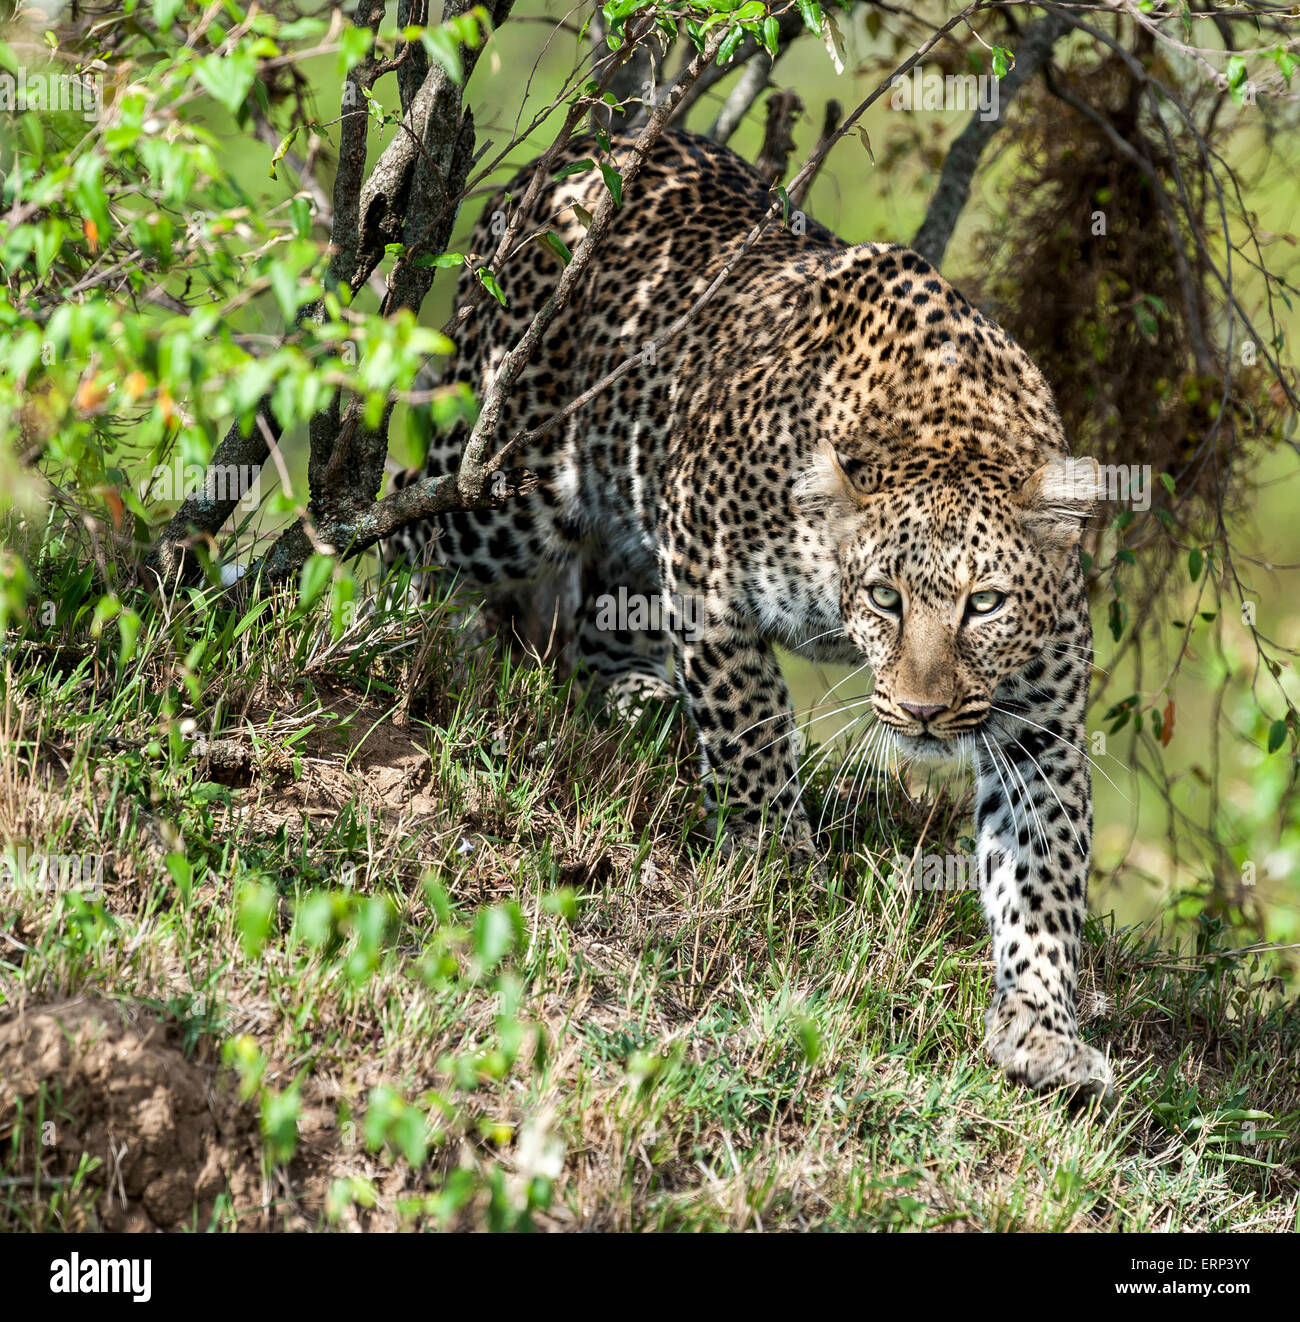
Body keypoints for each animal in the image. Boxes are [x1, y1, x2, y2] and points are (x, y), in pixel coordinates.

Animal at [381, 128, 1115, 1102]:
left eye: (984, 604)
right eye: (885, 598)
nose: (923, 713)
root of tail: (584, 146)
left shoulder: (1041, 726)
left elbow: (1043, 875)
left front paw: (1041, 1031)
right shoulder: (706, 563)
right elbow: (752, 731)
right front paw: (780, 874)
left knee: (597, 629)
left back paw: (639, 705)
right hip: (511, 491)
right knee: (402, 513)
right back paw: (362, 615)